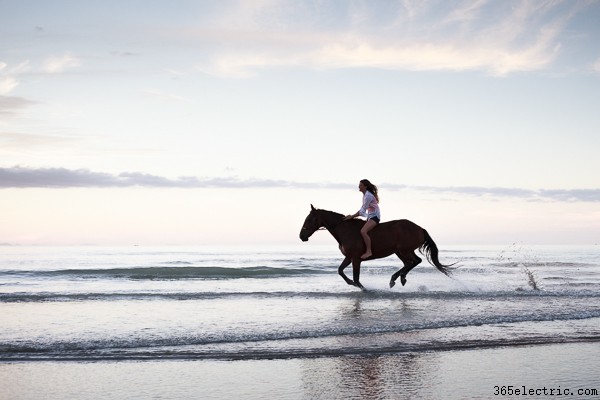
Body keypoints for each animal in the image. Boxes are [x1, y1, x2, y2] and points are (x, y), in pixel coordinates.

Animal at [298, 205, 452, 290]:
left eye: (309, 219)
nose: (301, 236)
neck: (345, 230)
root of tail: (420, 228)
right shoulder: (349, 257)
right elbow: (340, 271)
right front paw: (351, 283)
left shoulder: (355, 258)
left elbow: (356, 277)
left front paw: (362, 288)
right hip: (400, 251)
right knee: (410, 263)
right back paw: (398, 278)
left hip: (405, 250)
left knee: (415, 261)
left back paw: (398, 278)